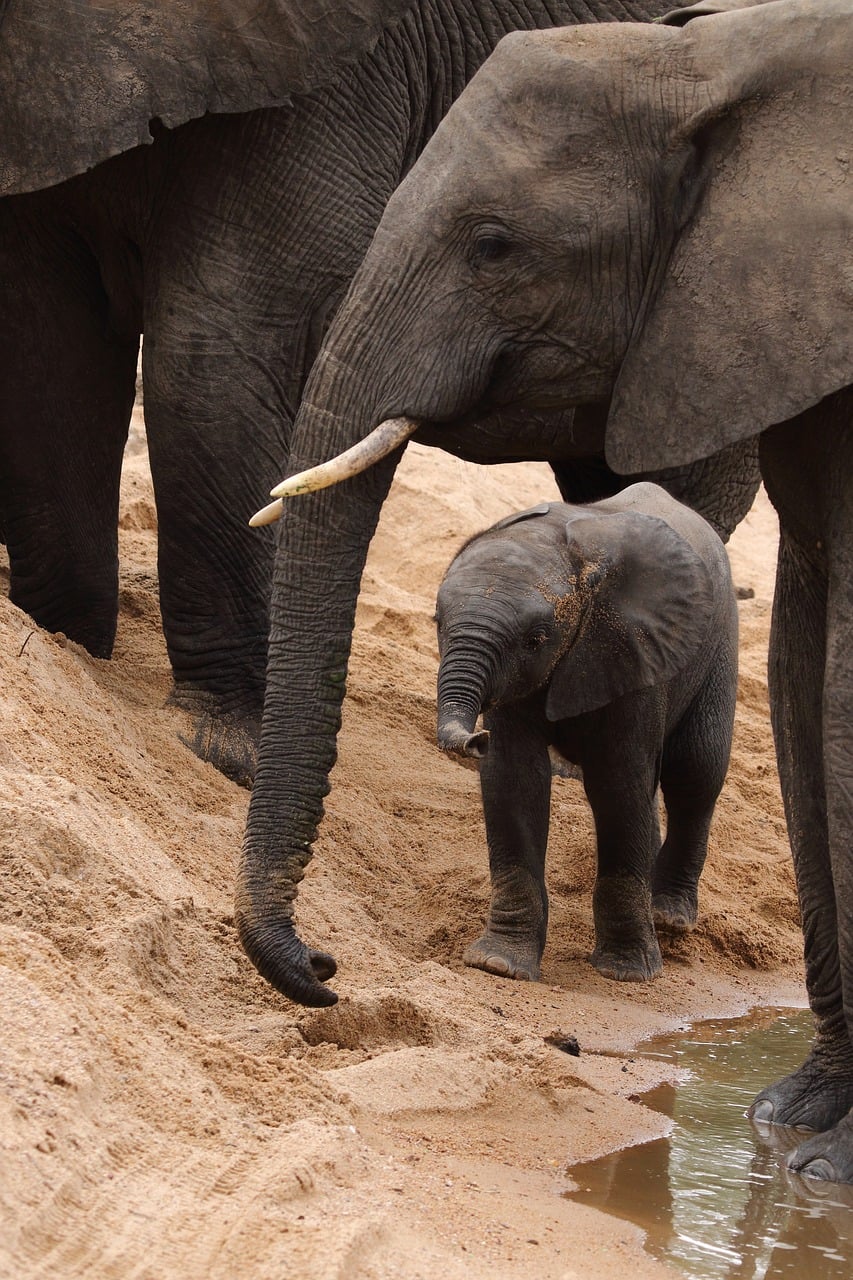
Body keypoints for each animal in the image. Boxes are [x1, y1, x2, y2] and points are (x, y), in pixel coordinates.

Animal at [434, 483, 738, 985]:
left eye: (536, 639)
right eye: (437, 623)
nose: (475, 738)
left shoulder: (636, 652)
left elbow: (619, 786)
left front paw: (627, 974)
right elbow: (514, 780)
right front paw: (498, 965)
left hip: (718, 643)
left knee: (695, 773)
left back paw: (669, 918)